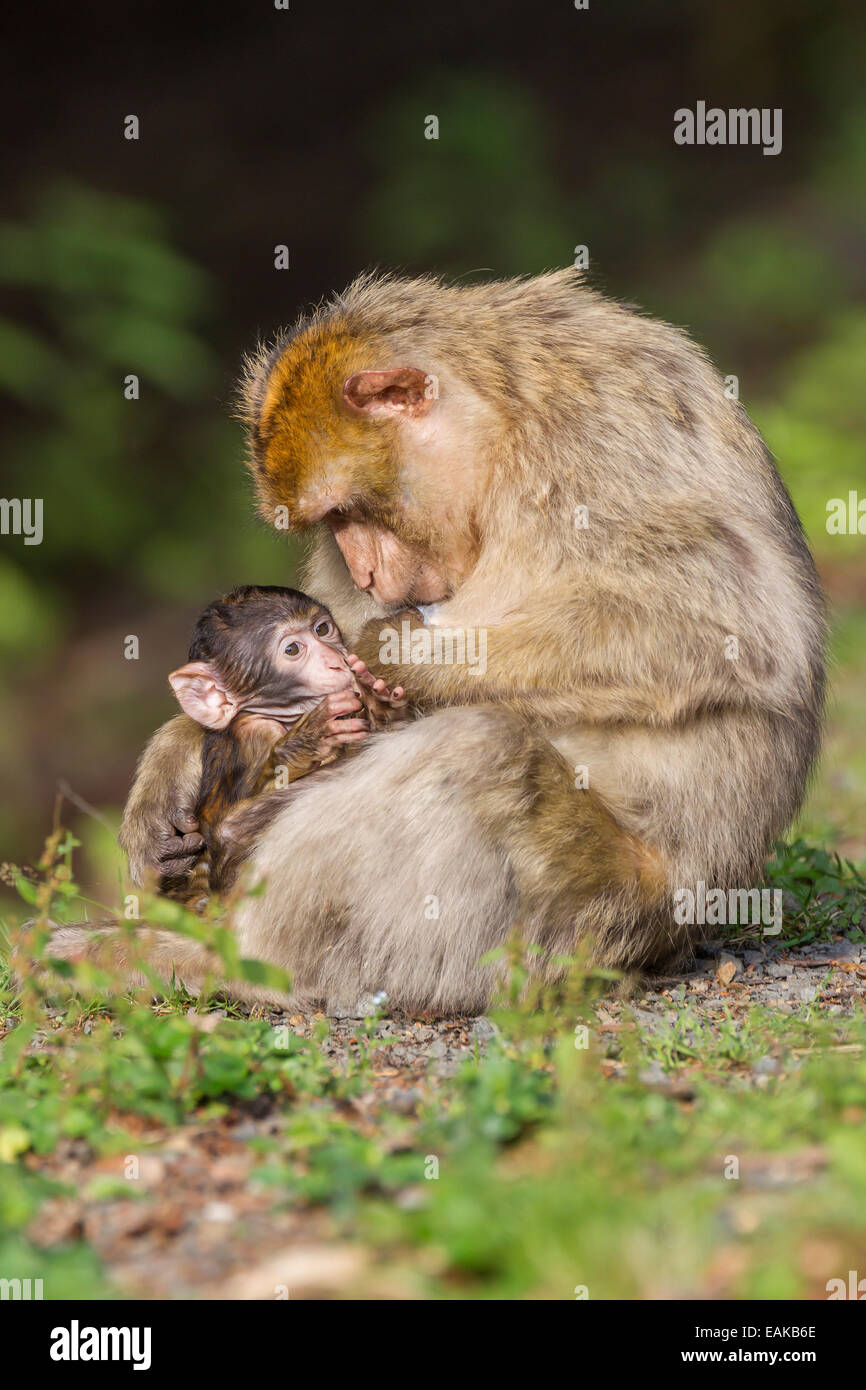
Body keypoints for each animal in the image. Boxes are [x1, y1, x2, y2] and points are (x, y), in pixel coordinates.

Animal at [156, 584, 405, 908]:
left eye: (322, 629)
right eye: (292, 650)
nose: (336, 659)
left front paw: (382, 706)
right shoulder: (256, 732)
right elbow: (229, 828)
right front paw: (303, 742)